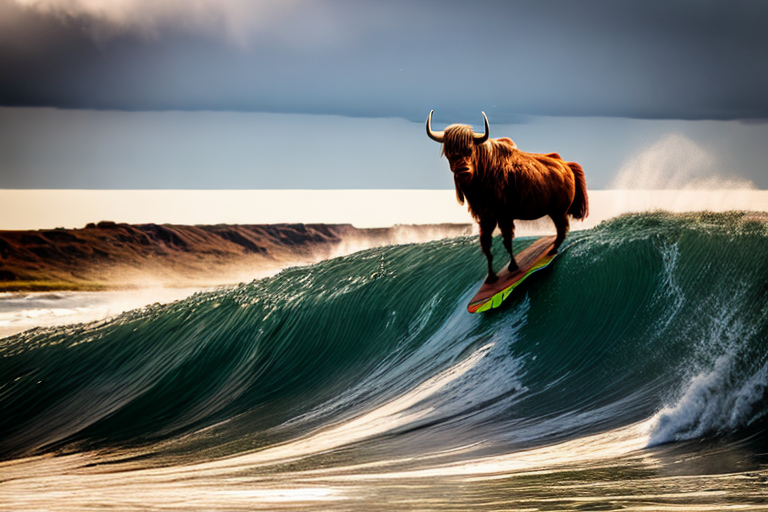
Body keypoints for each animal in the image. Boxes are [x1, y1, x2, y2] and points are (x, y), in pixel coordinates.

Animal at [426, 110, 588, 284]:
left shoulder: (503, 216)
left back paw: (552, 250)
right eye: (448, 152)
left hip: (558, 212)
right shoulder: (486, 218)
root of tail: (567, 165)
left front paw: (513, 267)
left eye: (470, 149)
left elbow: (507, 241)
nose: (463, 171)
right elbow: (486, 245)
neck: (485, 171)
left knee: (562, 230)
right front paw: (491, 277)